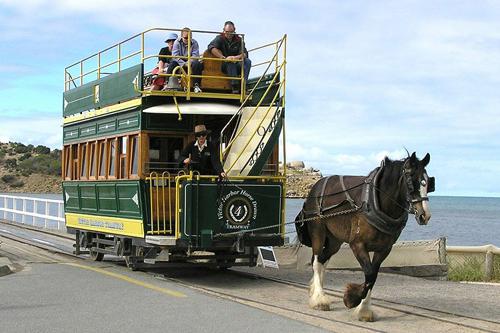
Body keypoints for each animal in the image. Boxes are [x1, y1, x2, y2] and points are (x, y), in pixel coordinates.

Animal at [294, 152, 432, 320]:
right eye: (412, 182)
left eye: (428, 183)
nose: (425, 215)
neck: (375, 203)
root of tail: (315, 188)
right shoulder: (357, 245)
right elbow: (370, 273)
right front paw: (353, 299)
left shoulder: (384, 249)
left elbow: (373, 276)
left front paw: (363, 308)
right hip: (318, 232)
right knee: (316, 261)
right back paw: (319, 299)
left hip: (334, 241)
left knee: (322, 260)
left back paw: (315, 290)